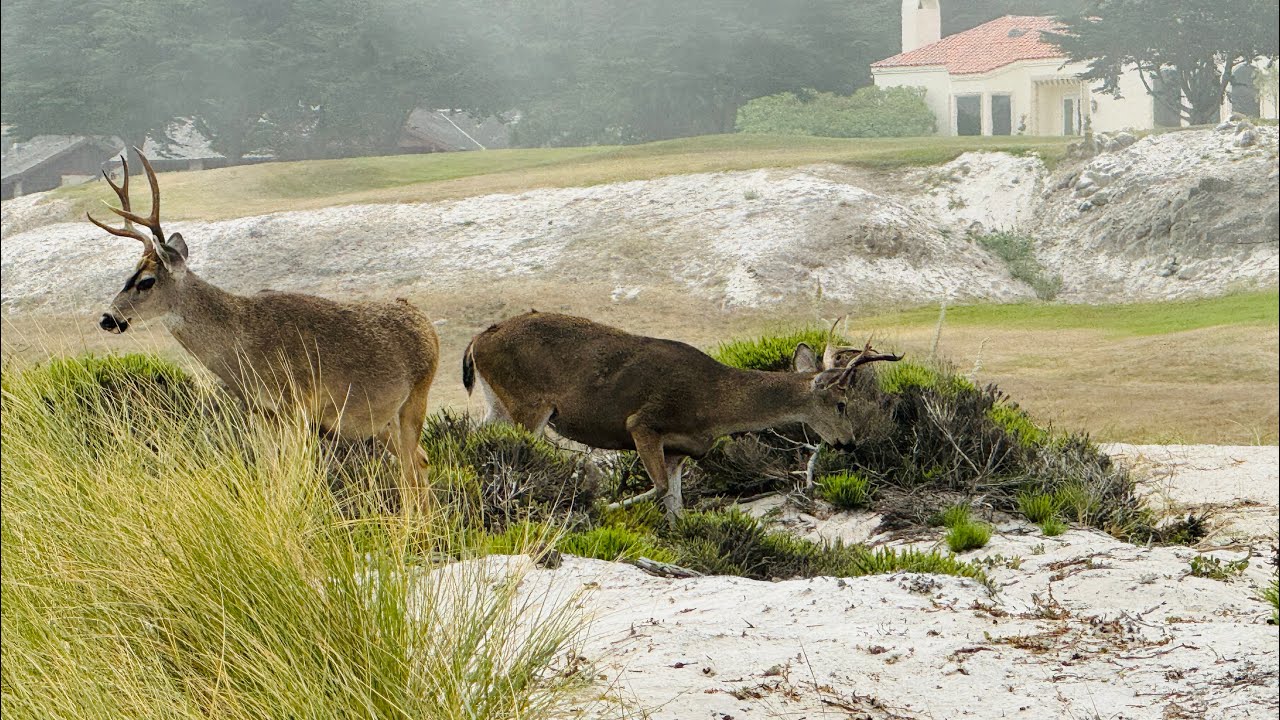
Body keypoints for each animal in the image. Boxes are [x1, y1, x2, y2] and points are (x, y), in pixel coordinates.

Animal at [89, 150, 440, 511]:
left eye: (146, 281)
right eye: (129, 273)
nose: (108, 319)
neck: (243, 344)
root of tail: (424, 323)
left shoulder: (298, 406)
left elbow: (298, 474)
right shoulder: (261, 412)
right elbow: (271, 470)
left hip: (417, 397)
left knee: (412, 467)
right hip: (381, 420)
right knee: (419, 460)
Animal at [461, 311, 900, 520]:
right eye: (841, 403)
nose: (849, 442)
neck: (714, 402)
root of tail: (476, 339)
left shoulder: (679, 450)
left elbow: (675, 504)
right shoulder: (643, 423)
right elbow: (656, 490)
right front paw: (600, 508)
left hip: (498, 403)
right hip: (528, 404)